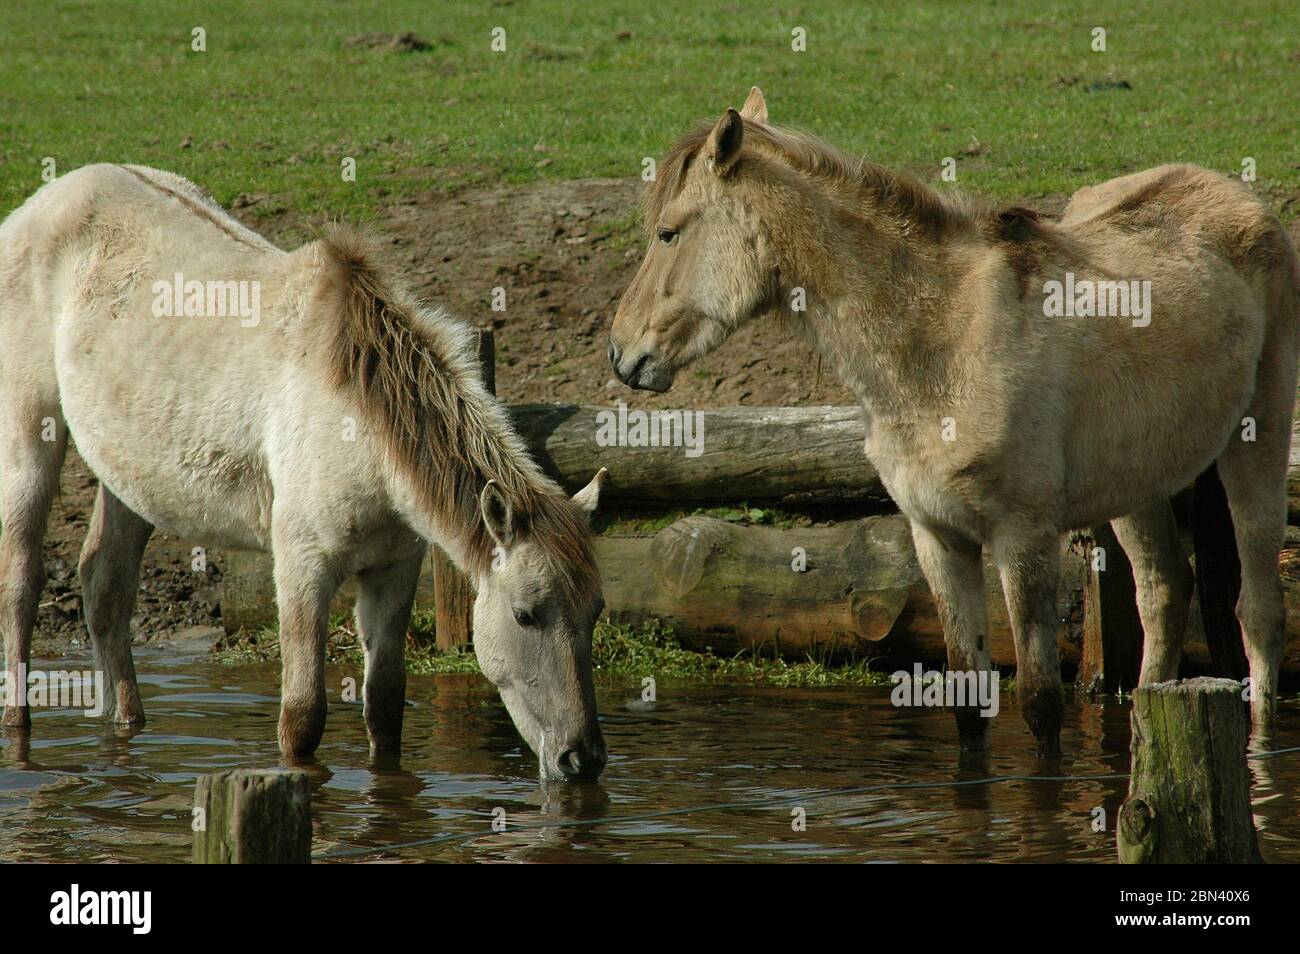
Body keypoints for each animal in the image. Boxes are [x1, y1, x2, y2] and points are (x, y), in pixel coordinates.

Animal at [0, 164, 609, 781]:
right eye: (526, 616)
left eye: (595, 612)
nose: (582, 758)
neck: (360, 425)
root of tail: (43, 201)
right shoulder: (302, 568)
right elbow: (302, 717)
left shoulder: (393, 570)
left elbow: (385, 706)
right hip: (29, 440)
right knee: (20, 584)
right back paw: (17, 729)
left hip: (128, 476)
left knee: (106, 588)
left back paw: (127, 729)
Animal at [609, 87, 1299, 756]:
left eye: (668, 233)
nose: (621, 354)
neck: (943, 340)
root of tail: (1237, 197)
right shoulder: (937, 539)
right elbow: (969, 704)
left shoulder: (1023, 540)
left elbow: (1040, 704)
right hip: (1138, 486)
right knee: (1164, 593)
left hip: (1257, 444)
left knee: (1259, 611)